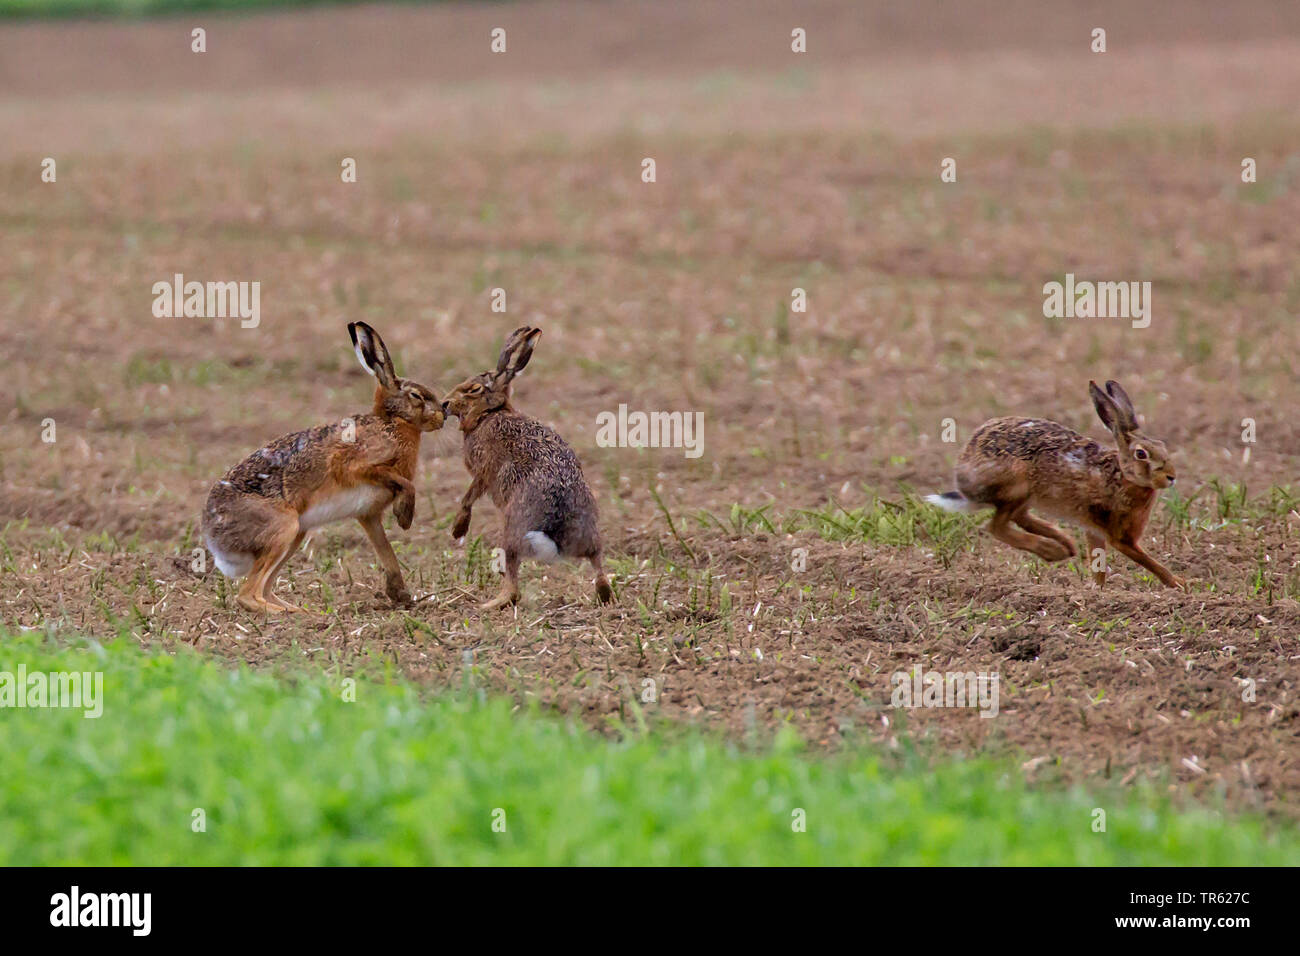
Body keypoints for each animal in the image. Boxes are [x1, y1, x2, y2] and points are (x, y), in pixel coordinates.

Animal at [201, 322, 445, 613]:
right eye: (417, 396)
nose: (443, 414)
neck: (393, 423)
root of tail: (214, 537)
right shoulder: (354, 466)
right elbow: (404, 483)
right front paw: (404, 516)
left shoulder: (368, 515)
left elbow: (386, 550)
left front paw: (401, 596)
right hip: (283, 528)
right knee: (248, 594)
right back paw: (293, 615)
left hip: (296, 534)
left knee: (266, 588)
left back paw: (303, 611)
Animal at [440, 326, 613, 610]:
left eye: (473, 389)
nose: (444, 403)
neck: (489, 413)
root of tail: (554, 524)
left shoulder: (483, 470)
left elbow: (469, 496)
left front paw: (458, 528)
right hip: (589, 528)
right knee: (597, 560)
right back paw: (604, 596)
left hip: (512, 528)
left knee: (512, 583)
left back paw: (489, 604)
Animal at [926, 380, 1184, 589]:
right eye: (1141, 454)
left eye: (1161, 445)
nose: (1171, 476)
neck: (1122, 476)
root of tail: (965, 479)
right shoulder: (1120, 535)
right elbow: (1147, 561)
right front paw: (1179, 585)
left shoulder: (1094, 530)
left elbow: (1098, 561)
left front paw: (1097, 590)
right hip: (1016, 483)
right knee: (997, 527)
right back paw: (1053, 550)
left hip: (1025, 495)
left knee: (1019, 518)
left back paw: (1064, 543)